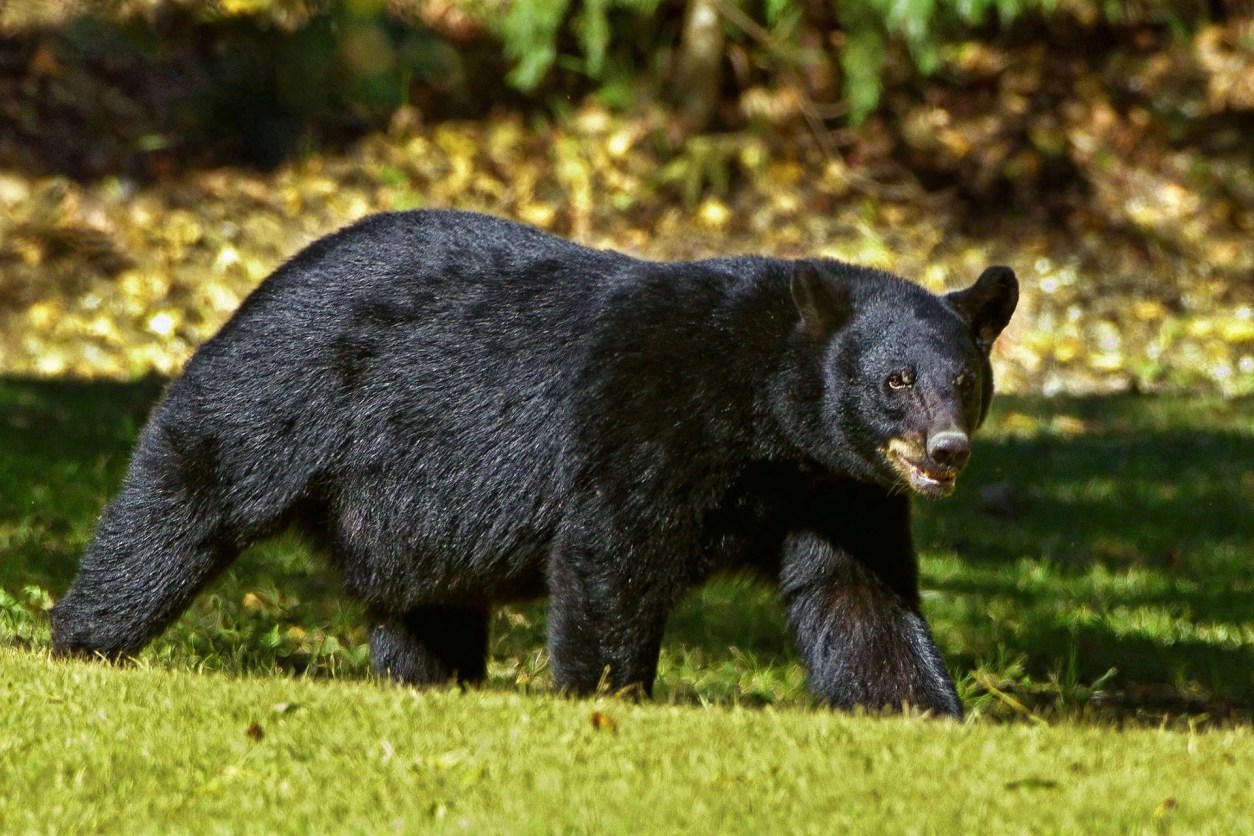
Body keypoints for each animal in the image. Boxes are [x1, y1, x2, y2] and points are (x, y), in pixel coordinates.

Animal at [51, 209, 1018, 717]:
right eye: (895, 381)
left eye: (965, 381)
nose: (946, 450)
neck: (763, 417)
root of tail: (263, 280)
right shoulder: (649, 419)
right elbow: (612, 558)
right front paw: (608, 699)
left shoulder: (835, 487)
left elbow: (860, 598)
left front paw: (926, 712)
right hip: (279, 392)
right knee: (183, 503)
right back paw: (82, 641)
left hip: (407, 513)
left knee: (424, 607)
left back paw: (432, 683)